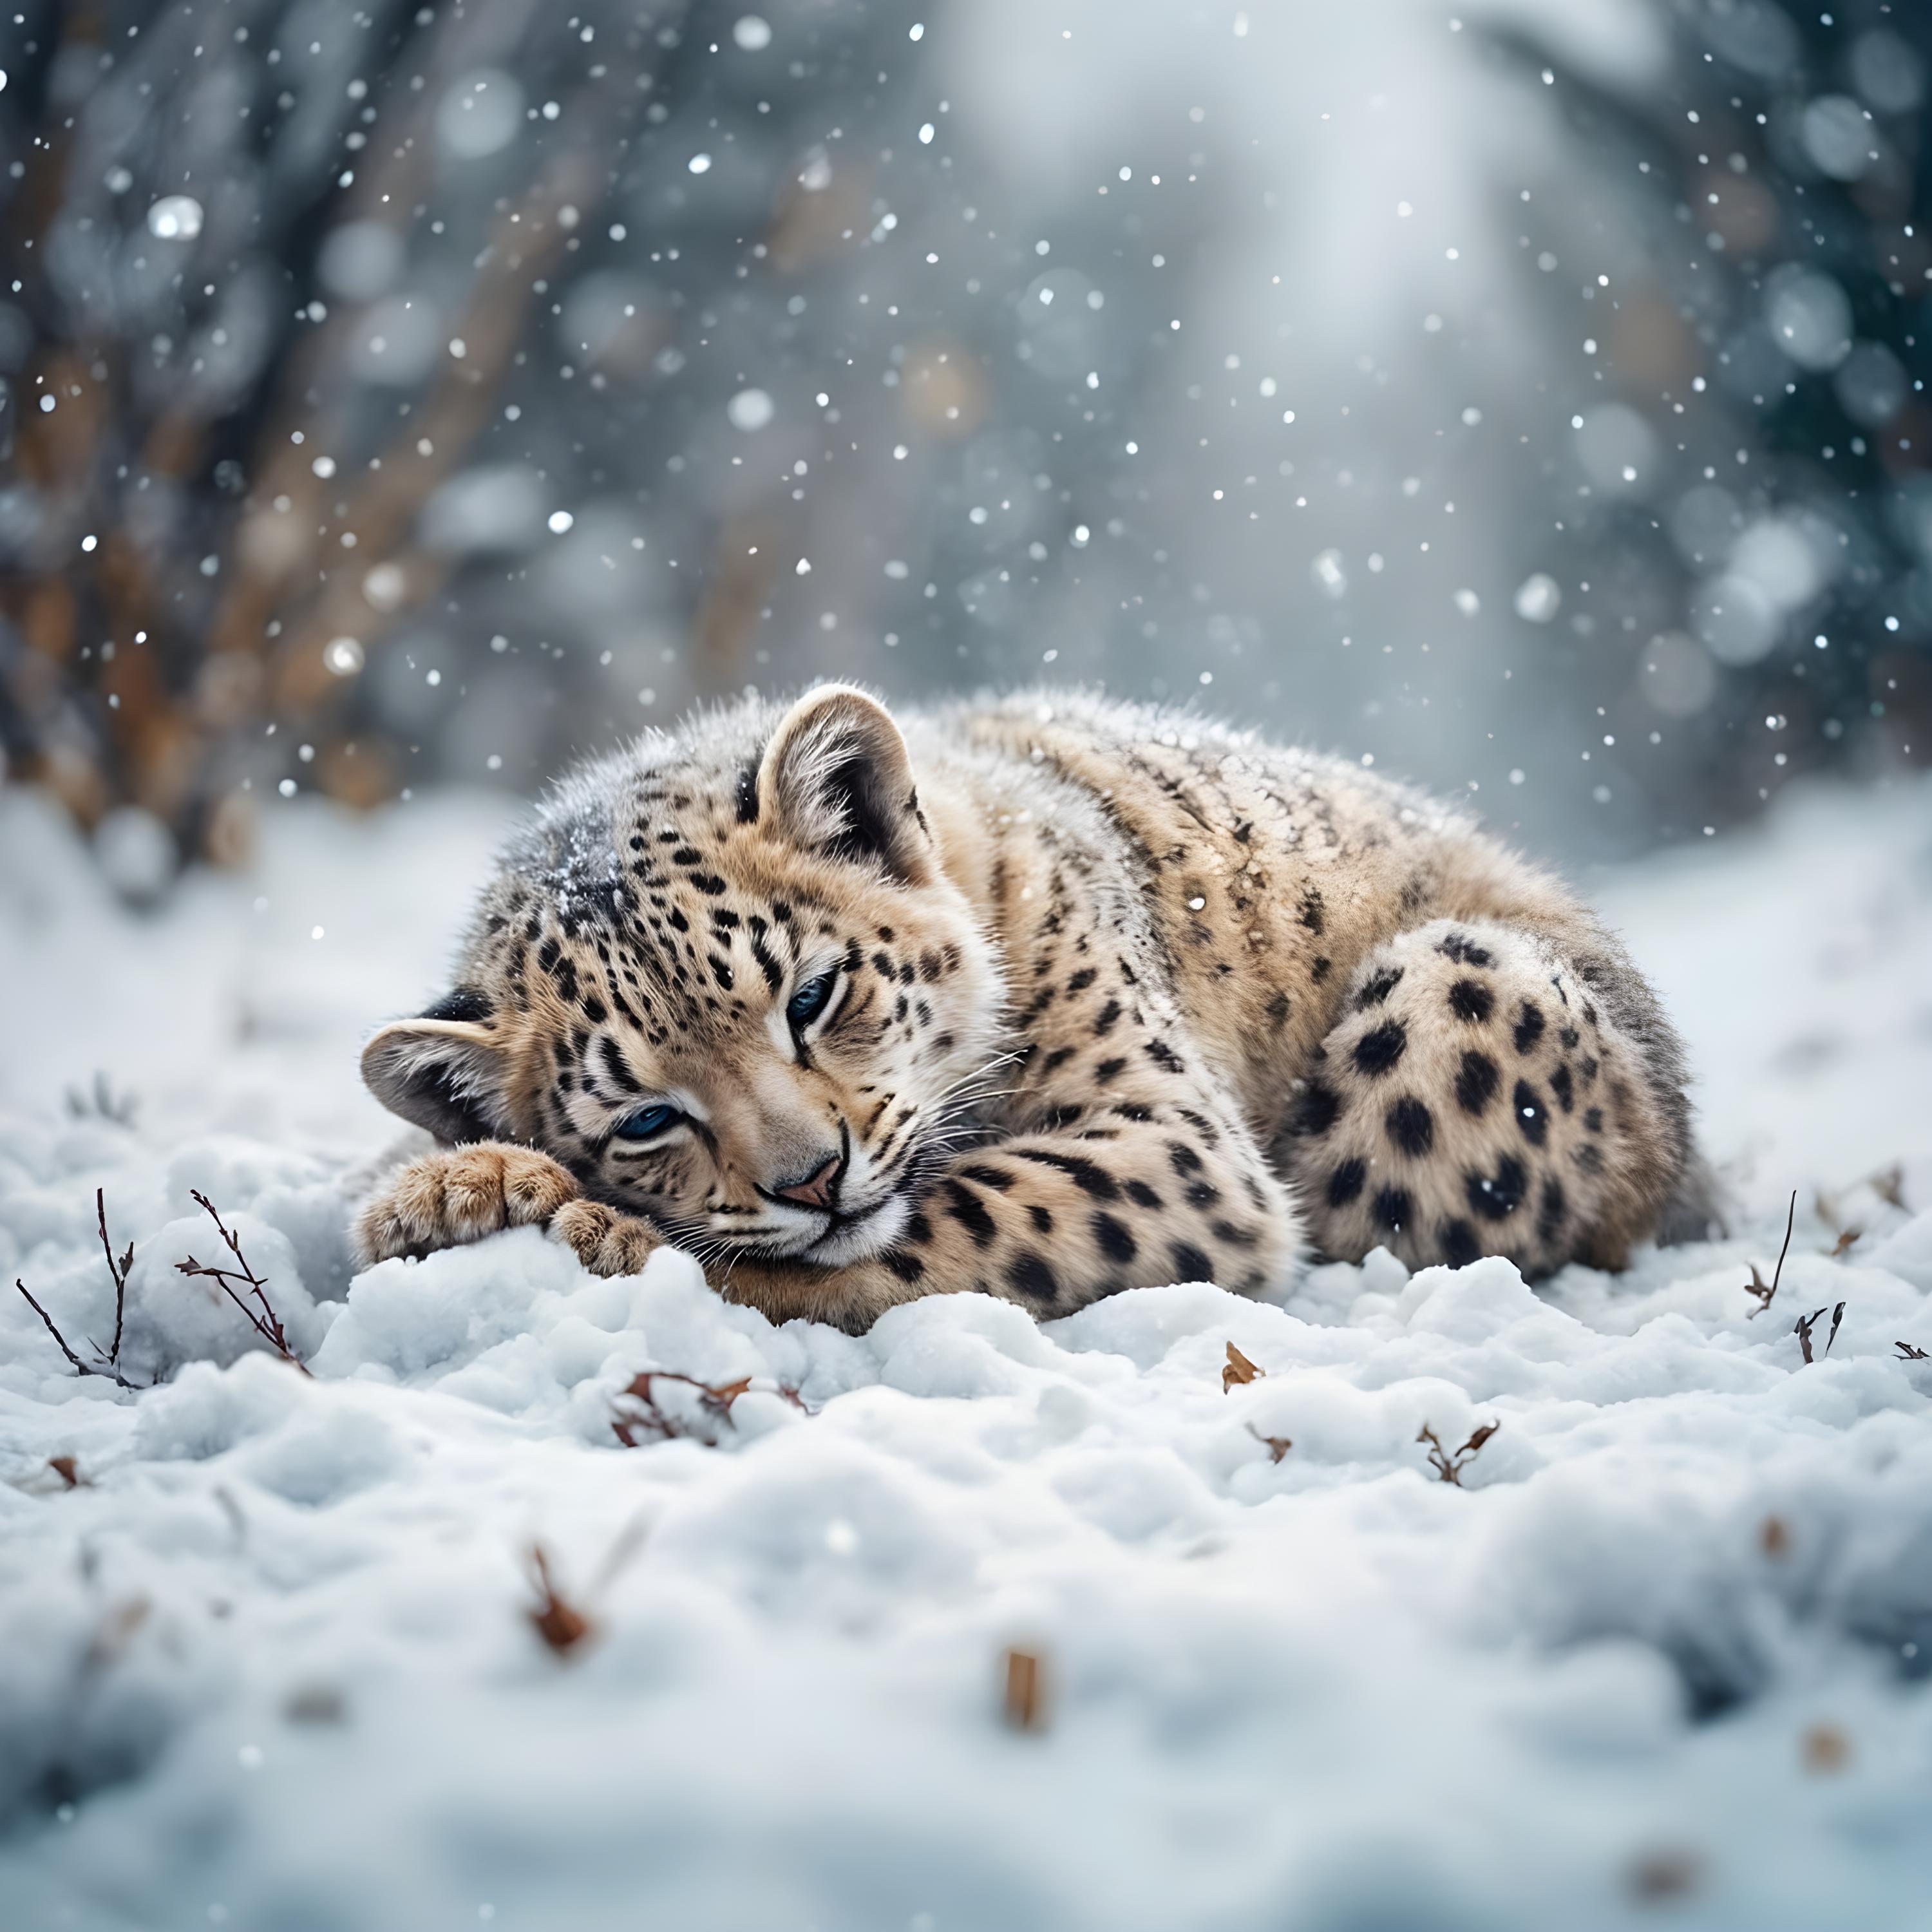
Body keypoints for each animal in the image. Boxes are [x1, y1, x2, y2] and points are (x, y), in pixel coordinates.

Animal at [354, 684, 1717, 1332]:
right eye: (643, 1117)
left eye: (813, 993)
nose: (810, 1180)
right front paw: (444, 1189)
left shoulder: (1170, 1140)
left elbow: (962, 1213)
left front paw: (613, 1238)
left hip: (1458, 990)